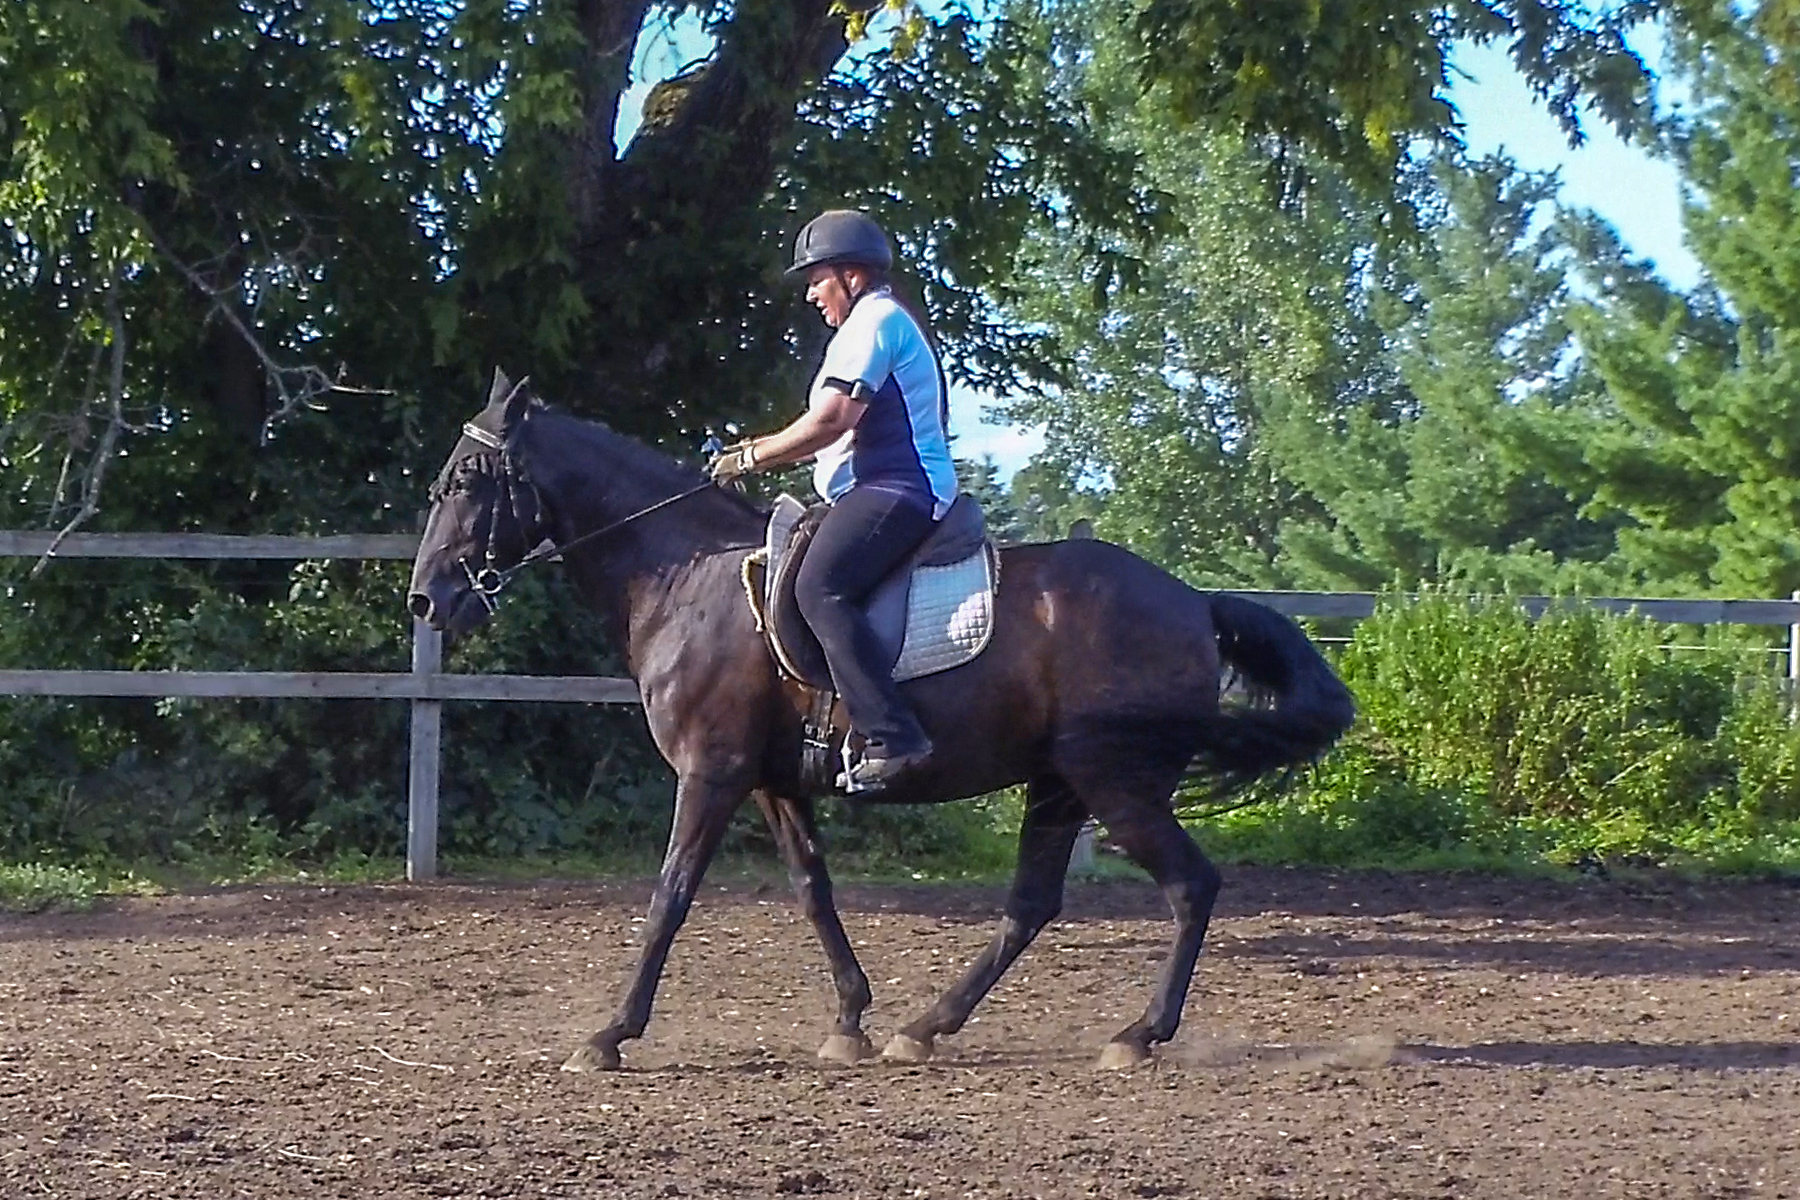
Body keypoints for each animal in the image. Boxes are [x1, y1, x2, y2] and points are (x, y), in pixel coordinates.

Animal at [407, 373, 1355, 1072]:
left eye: (466, 483)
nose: (428, 600)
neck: (687, 577)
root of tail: (1193, 600)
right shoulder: (771, 783)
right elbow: (812, 889)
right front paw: (851, 1021)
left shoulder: (711, 773)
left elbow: (671, 894)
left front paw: (609, 1035)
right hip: (1059, 782)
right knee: (1031, 905)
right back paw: (927, 1027)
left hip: (1114, 783)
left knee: (1190, 888)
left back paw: (1137, 1035)